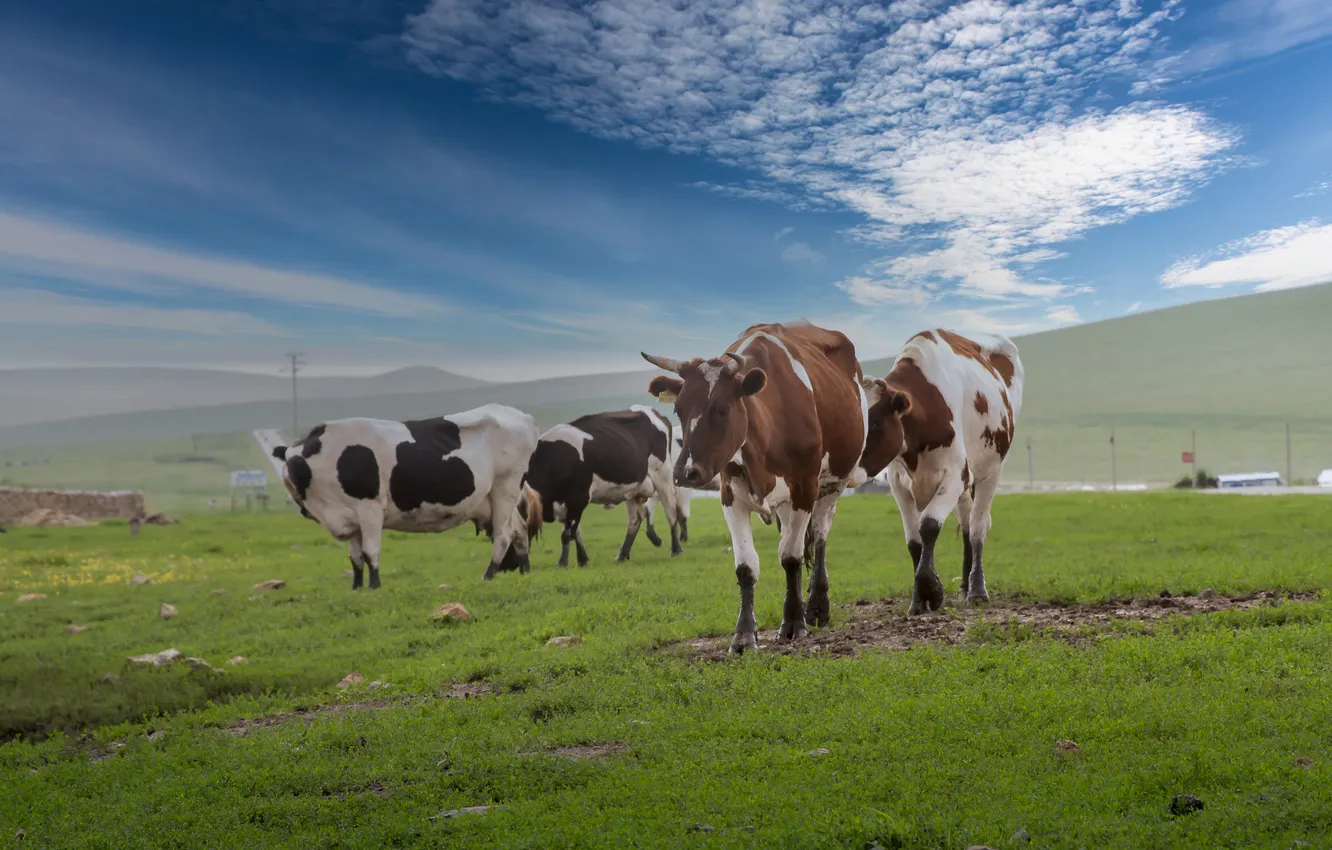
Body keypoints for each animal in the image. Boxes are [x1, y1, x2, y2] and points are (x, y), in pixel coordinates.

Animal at [271, 403, 539, 587]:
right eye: (287, 464)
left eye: (295, 466)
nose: (291, 481)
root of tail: (521, 416)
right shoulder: (349, 517)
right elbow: (355, 558)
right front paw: (356, 587)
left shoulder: (369, 509)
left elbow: (370, 551)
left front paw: (374, 586)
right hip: (492, 501)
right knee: (519, 529)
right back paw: (525, 571)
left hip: (506, 488)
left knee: (503, 535)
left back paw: (488, 574)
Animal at [523, 405, 683, 568]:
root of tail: (652, 411)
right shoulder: (566, 505)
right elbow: (576, 532)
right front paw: (583, 559)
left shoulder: (578, 499)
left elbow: (567, 533)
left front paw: (562, 562)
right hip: (633, 488)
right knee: (635, 519)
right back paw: (622, 555)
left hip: (663, 476)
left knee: (670, 511)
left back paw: (676, 549)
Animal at [642, 320, 868, 655]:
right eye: (678, 410)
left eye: (722, 409)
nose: (685, 472)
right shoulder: (730, 495)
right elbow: (746, 567)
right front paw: (745, 635)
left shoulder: (805, 488)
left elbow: (790, 557)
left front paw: (794, 623)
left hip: (834, 483)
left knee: (819, 536)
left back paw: (816, 606)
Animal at [857, 329, 1025, 615]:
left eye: (876, 421)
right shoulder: (898, 484)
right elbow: (914, 541)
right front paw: (918, 599)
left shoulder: (955, 476)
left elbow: (929, 526)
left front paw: (931, 590)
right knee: (967, 525)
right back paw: (965, 587)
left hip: (990, 471)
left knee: (978, 527)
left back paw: (977, 590)